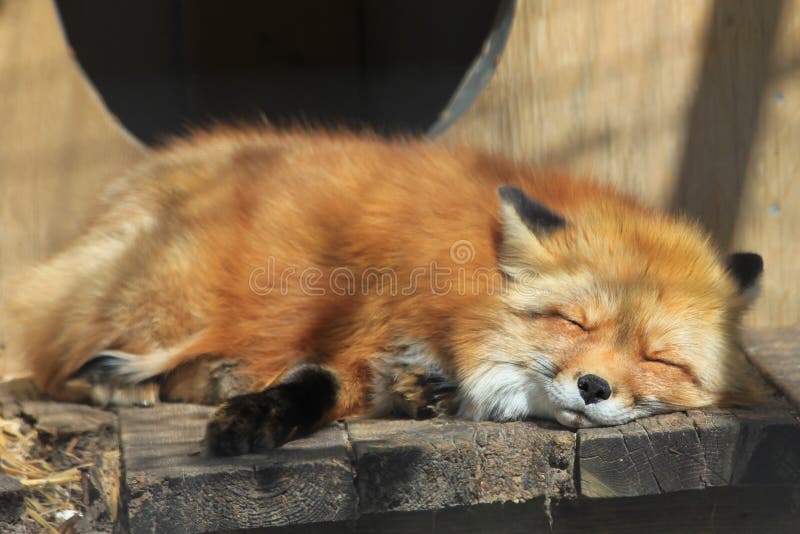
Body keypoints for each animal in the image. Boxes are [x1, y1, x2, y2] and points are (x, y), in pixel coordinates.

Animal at [3, 127, 767, 456]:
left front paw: (422, 393)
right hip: (158, 303)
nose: (594, 388)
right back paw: (127, 383)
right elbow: (310, 381)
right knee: (50, 360)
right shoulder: (364, 329)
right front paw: (255, 417)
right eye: (574, 323)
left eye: (659, 359)